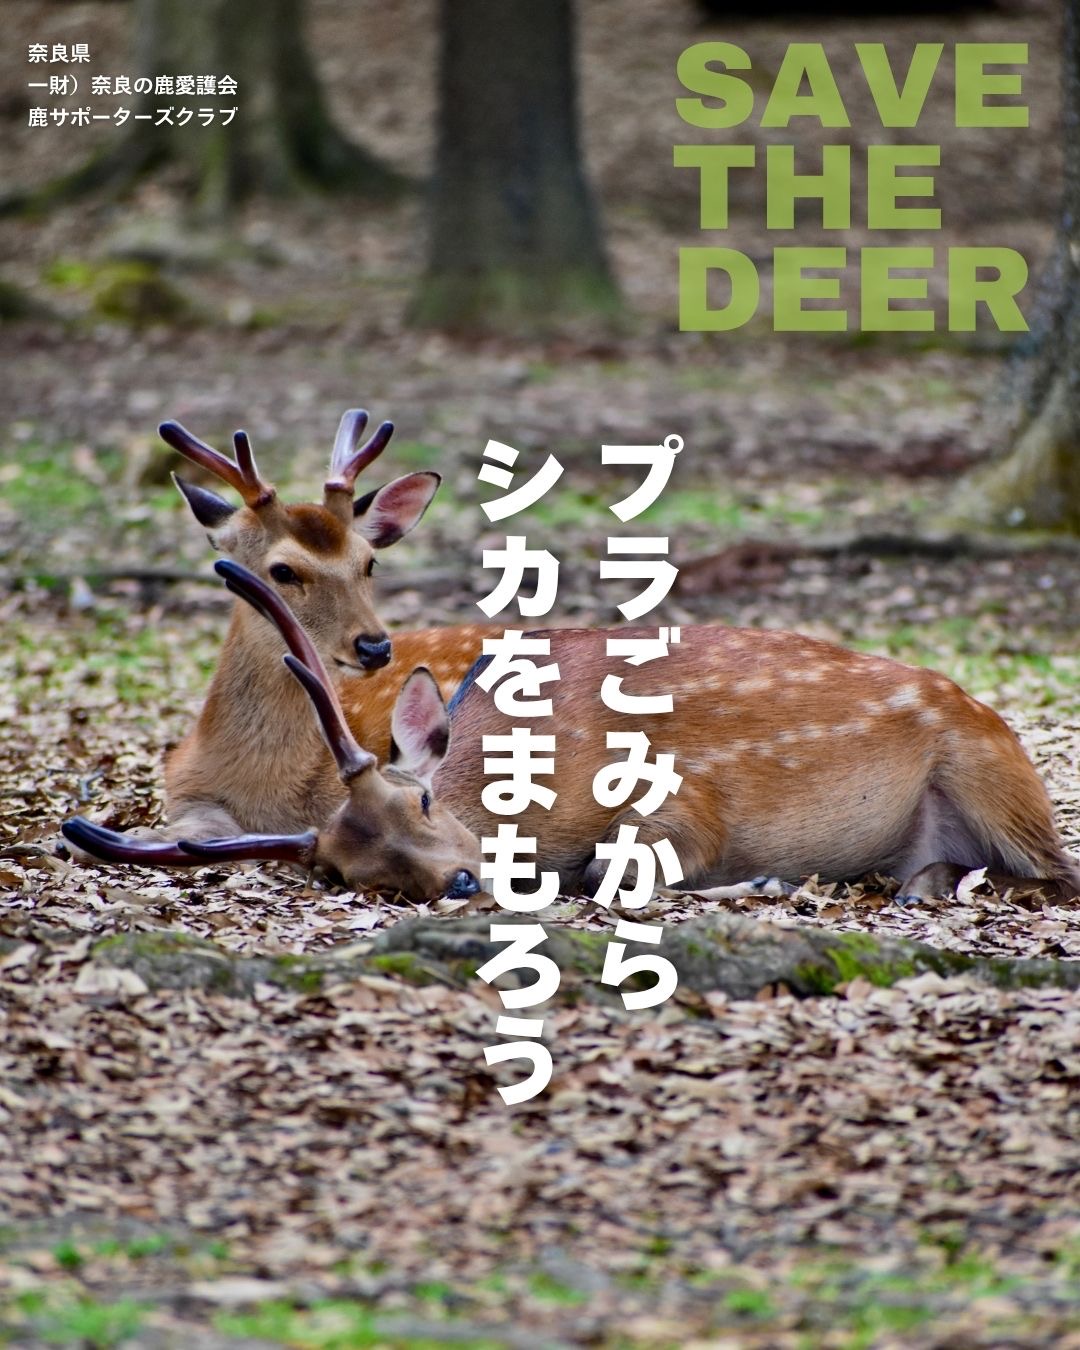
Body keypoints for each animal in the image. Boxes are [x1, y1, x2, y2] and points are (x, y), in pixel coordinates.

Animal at [64, 565, 1080, 906]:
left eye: (420, 797)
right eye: (350, 871)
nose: (458, 880)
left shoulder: (681, 798)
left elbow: (614, 867)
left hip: (995, 774)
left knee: (1050, 874)